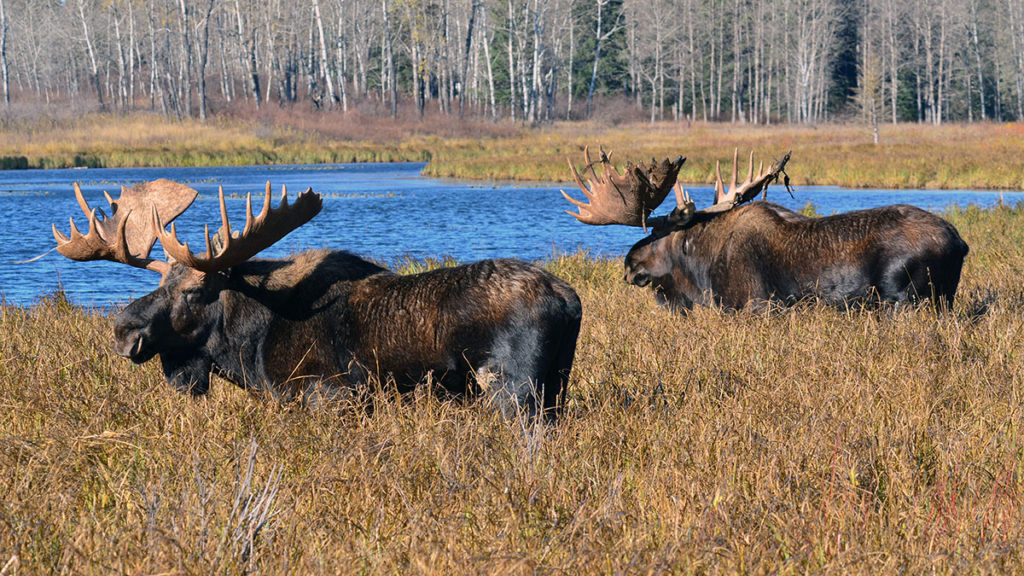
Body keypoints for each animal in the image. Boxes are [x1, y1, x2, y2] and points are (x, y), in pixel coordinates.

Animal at [53, 179, 582, 419]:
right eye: (161, 284)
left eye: (194, 290)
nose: (124, 331)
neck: (249, 345)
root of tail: (568, 300)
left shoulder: (329, 395)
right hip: (554, 384)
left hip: (513, 390)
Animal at [562, 148, 969, 311]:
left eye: (654, 233)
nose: (628, 264)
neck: (700, 269)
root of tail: (960, 243)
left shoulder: (754, 306)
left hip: (904, 299)